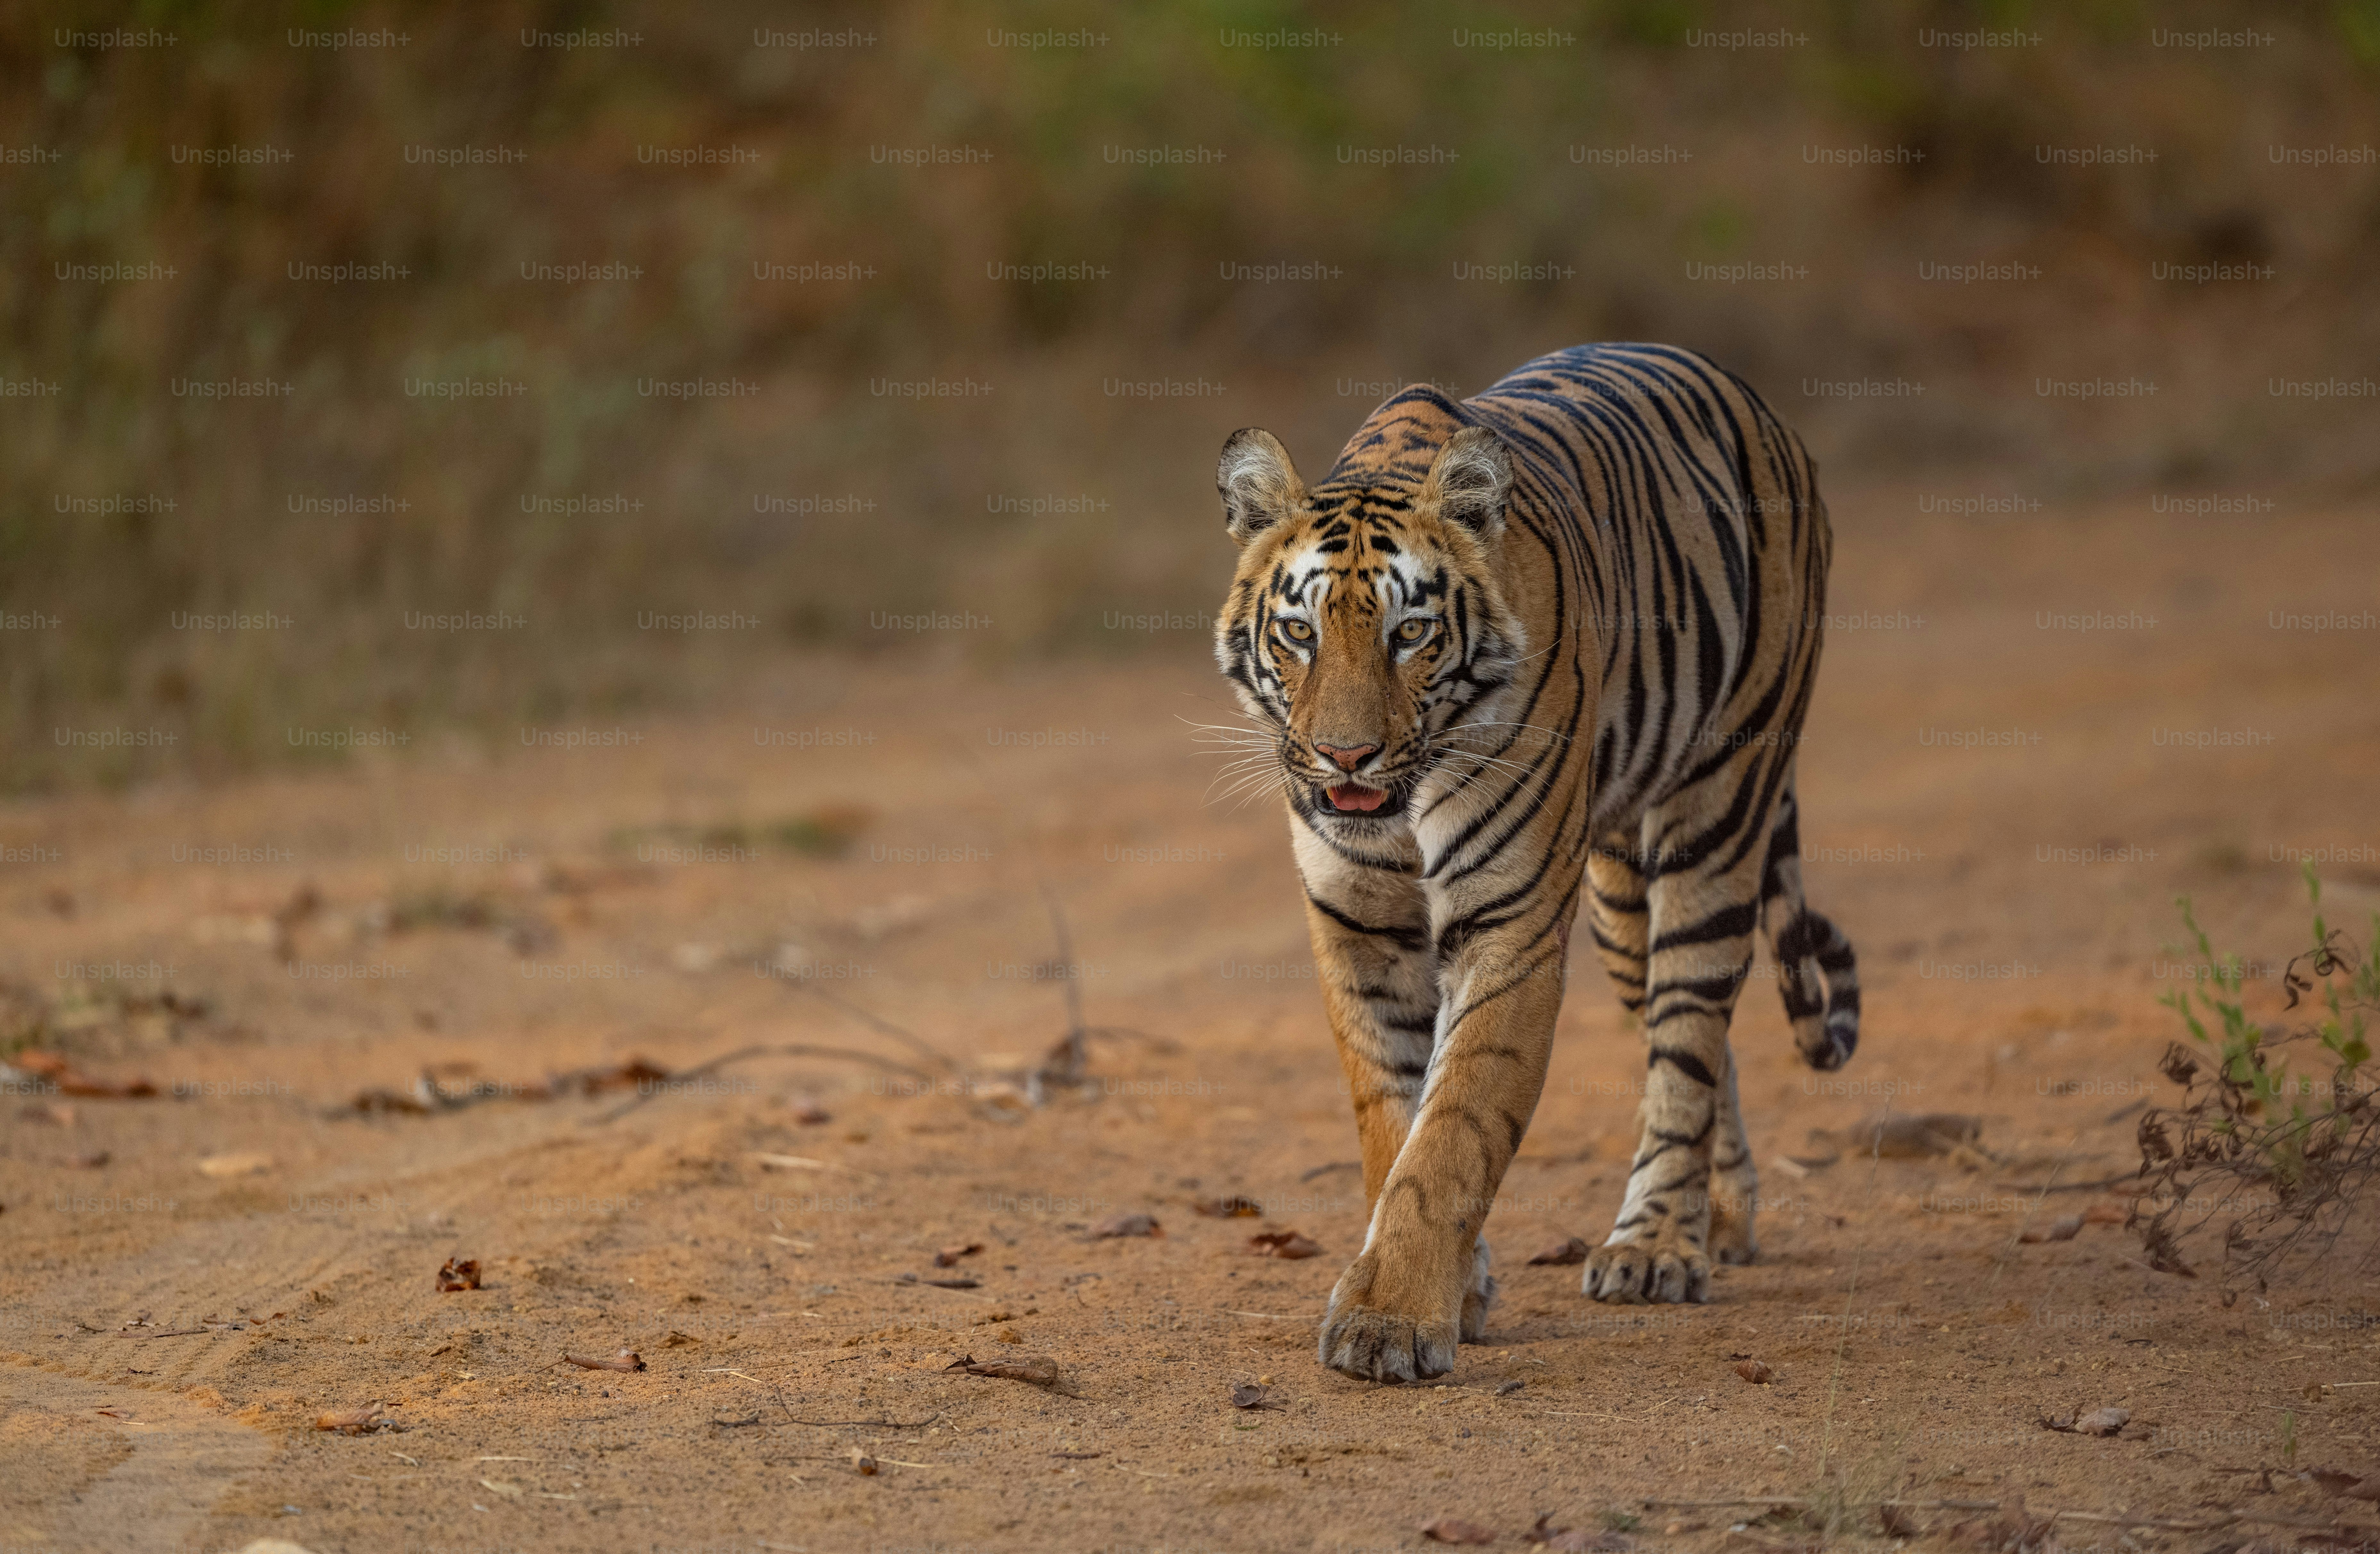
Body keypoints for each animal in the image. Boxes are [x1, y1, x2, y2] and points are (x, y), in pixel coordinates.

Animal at [1207, 342, 1860, 1384]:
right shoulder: (1359, 927)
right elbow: (1391, 1120)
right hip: (1618, 895)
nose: (1346, 757)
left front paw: (1391, 1320)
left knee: (1689, 1028)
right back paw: (1717, 1218)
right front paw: (1450, 1286)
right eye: (1299, 631)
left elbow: (1453, 1128)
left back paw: (1656, 1245)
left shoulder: (1507, 927)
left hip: (1720, 810)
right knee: (1693, 1035)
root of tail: (1756, 404)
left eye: (1410, 632)